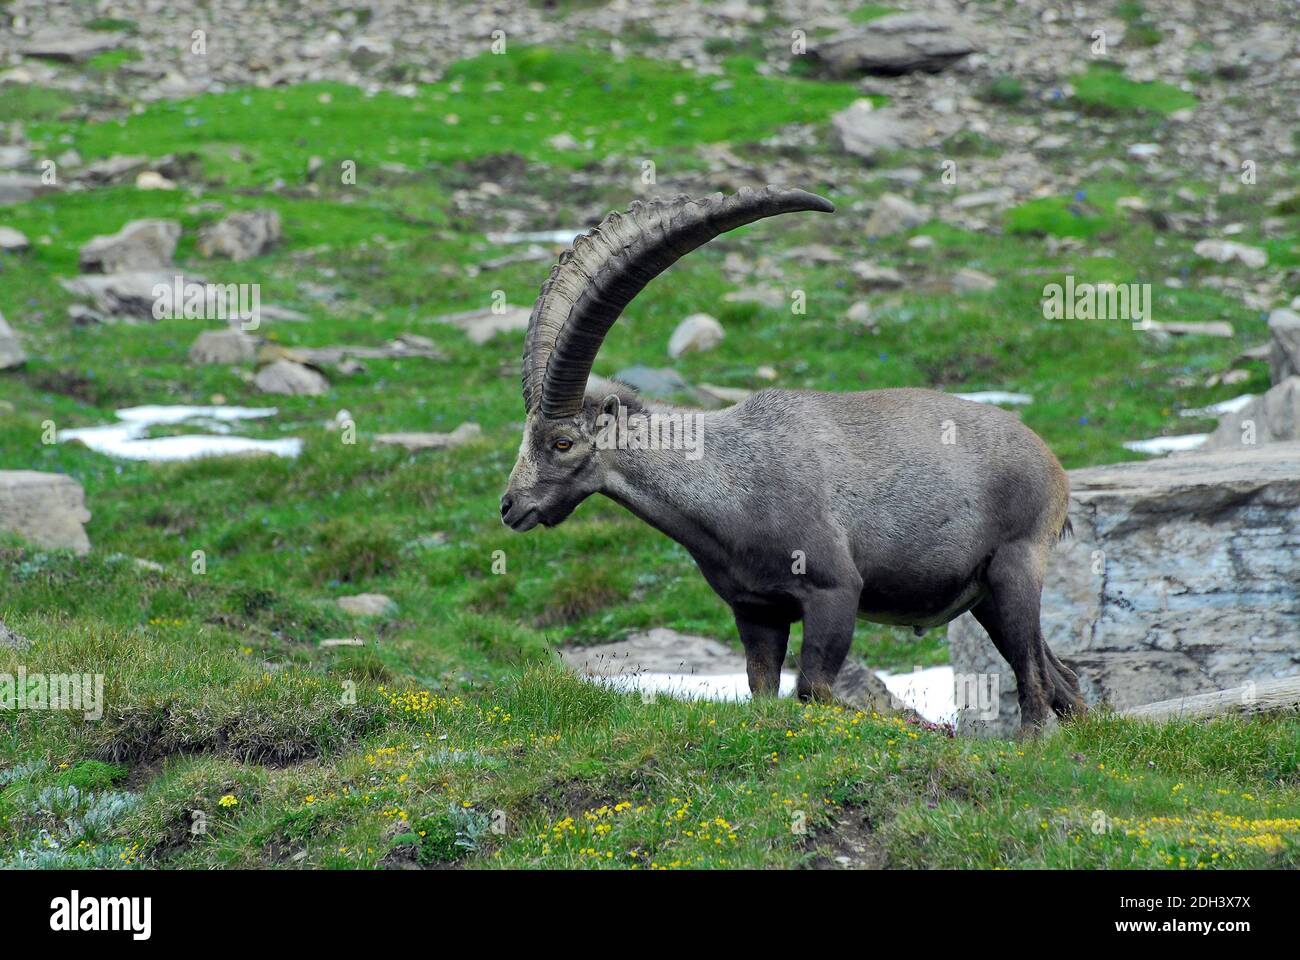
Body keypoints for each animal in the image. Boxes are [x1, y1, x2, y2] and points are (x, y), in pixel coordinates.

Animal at [501, 186, 1085, 732]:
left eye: (561, 443)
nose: (510, 507)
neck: (728, 482)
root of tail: (1052, 465)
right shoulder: (756, 611)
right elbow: (764, 690)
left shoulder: (834, 591)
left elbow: (811, 689)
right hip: (986, 596)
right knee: (1064, 681)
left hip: (1015, 566)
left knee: (1035, 682)